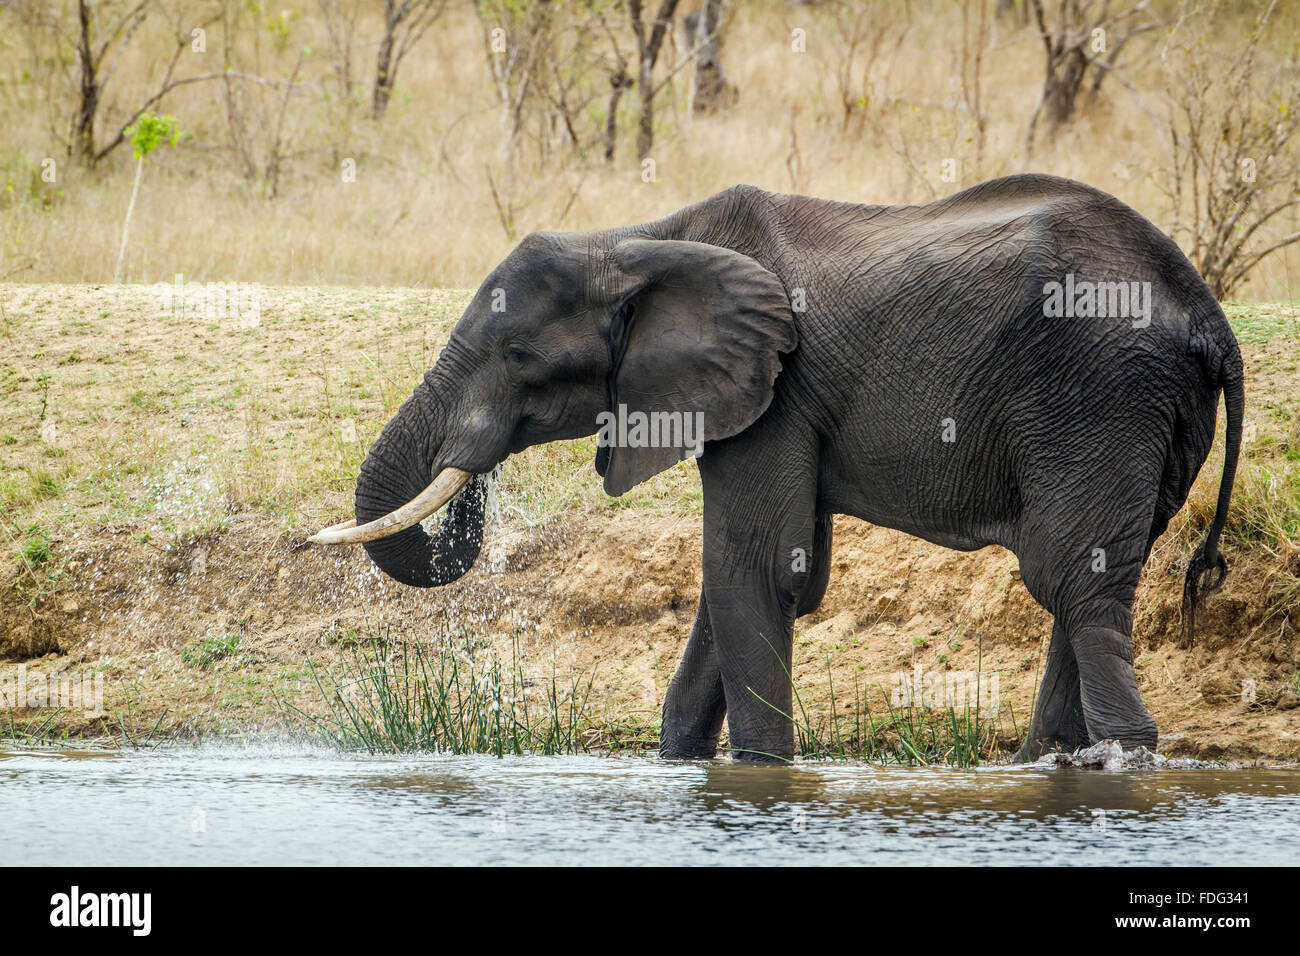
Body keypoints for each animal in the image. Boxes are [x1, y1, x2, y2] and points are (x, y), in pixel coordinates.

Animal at [306, 173, 1243, 763]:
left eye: (518, 355)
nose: (475, 466)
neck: (638, 240)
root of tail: (1208, 317)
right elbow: (744, 579)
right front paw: (681, 762)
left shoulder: (778, 388)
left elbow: (756, 571)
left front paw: (762, 773)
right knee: (1087, 582)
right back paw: (1040, 765)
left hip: (1097, 397)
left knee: (1072, 580)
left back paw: (1118, 760)